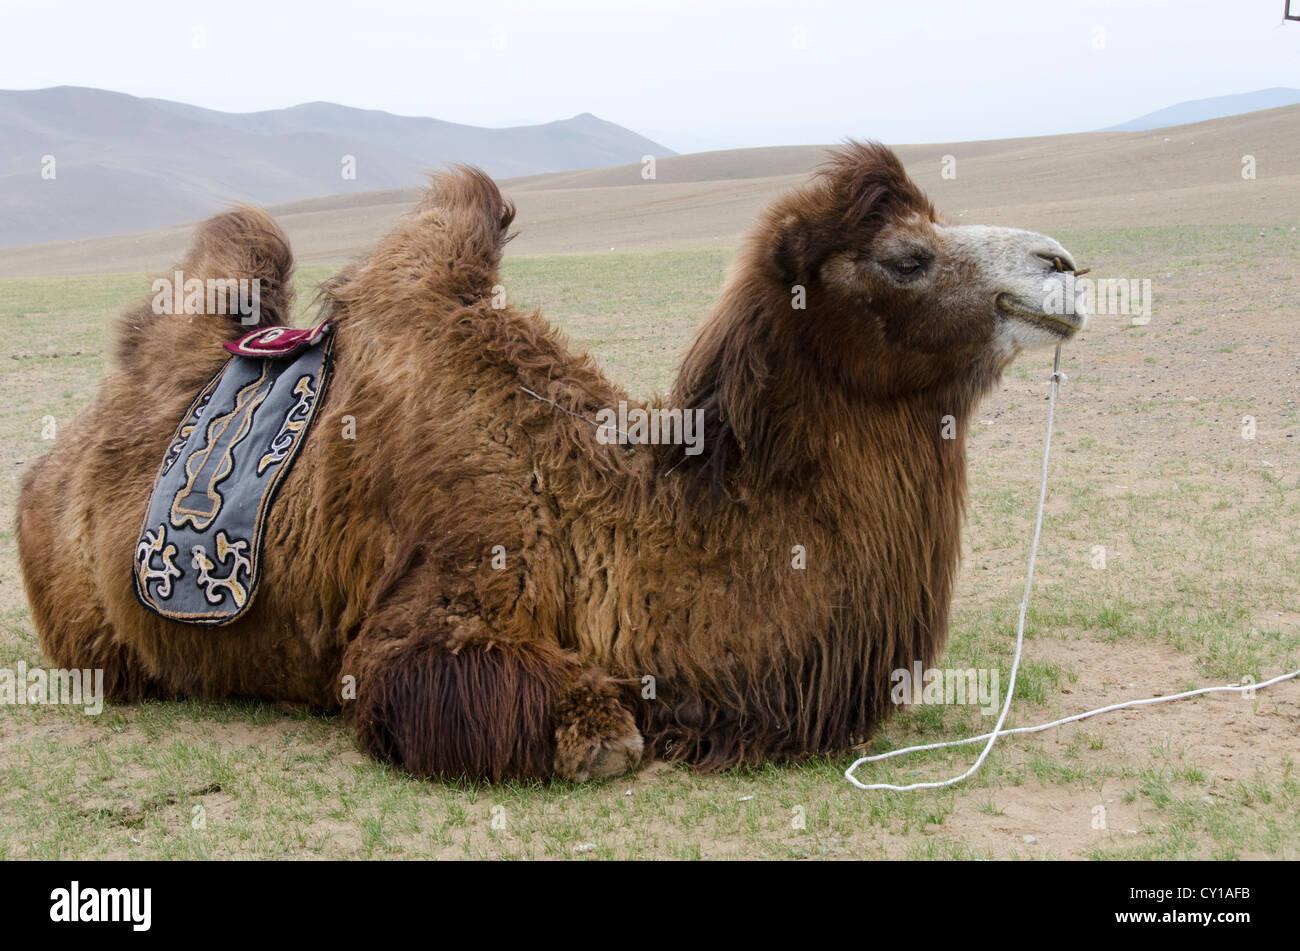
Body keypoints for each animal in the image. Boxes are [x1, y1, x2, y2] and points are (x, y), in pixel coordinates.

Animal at [16, 143, 1085, 782]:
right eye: (907, 255)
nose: (1065, 267)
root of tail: (45, 473)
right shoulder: (442, 590)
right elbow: (597, 732)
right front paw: (601, 733)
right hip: (90, 634)